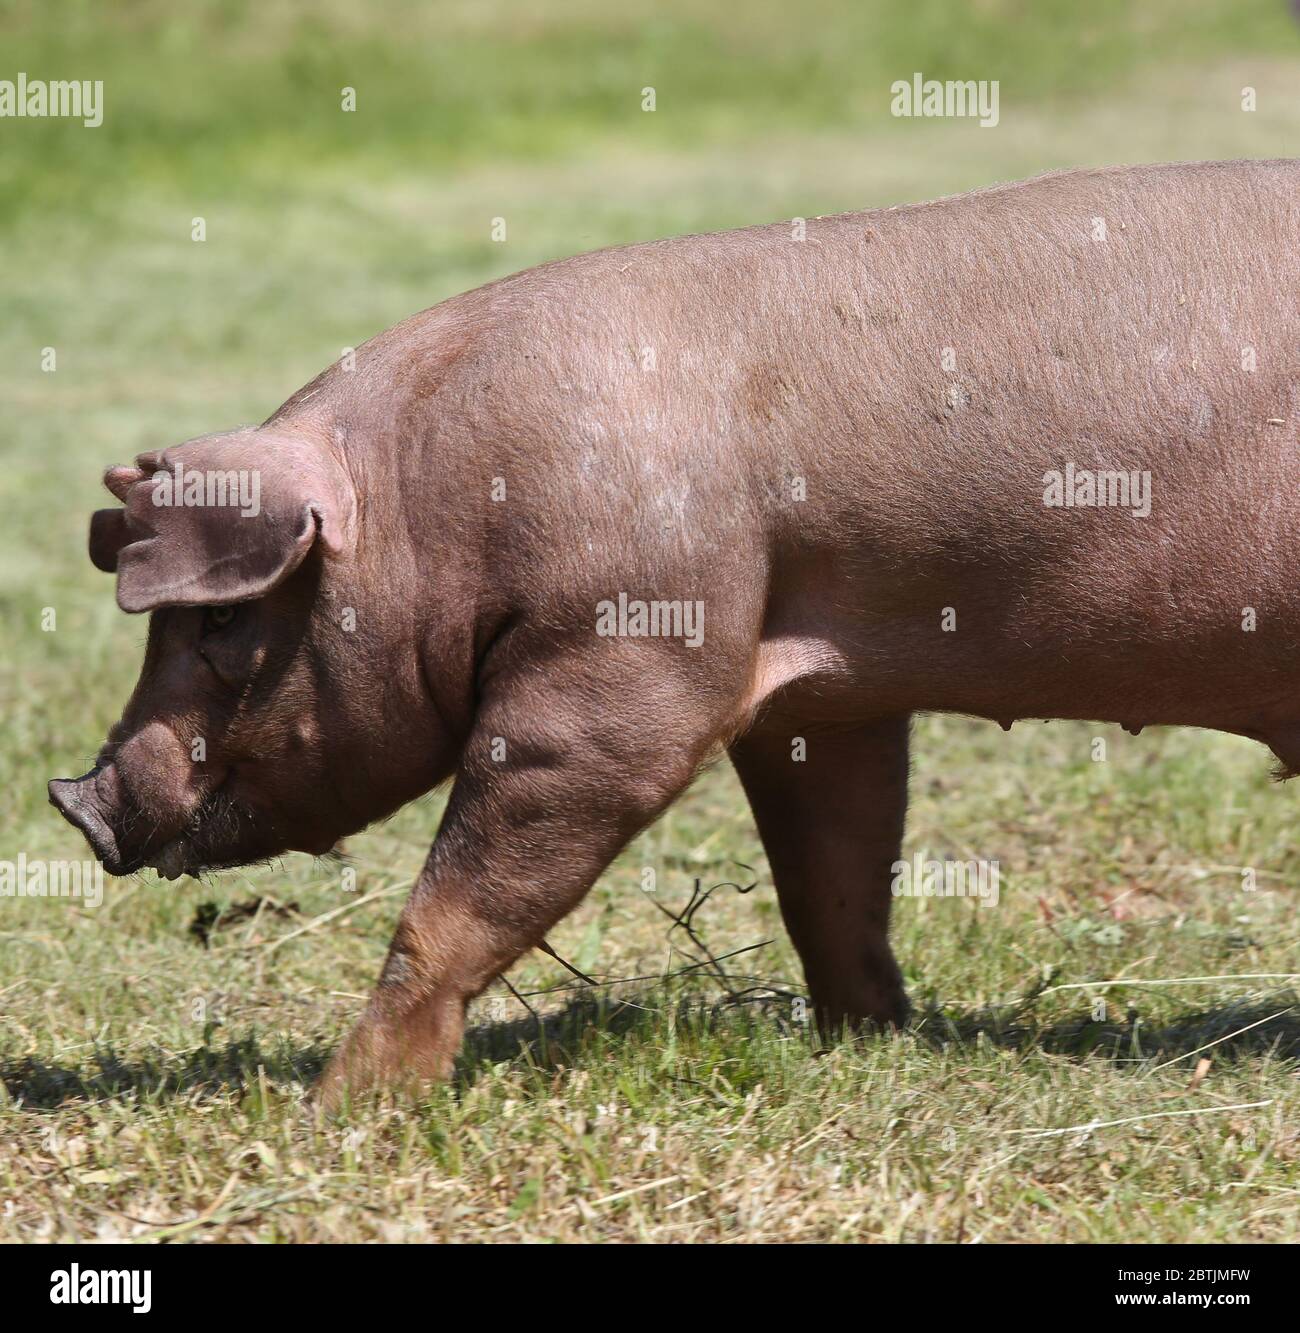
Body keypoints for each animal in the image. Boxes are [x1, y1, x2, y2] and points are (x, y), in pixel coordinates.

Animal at [49, 159, 1300, 1106]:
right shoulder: (822, 690)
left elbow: (462, 893)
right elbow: (832, 871)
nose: (76, 800)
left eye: (223, 621)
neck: (436, 504)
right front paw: (871, 1040)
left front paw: (338, 1112)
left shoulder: (620, 668)